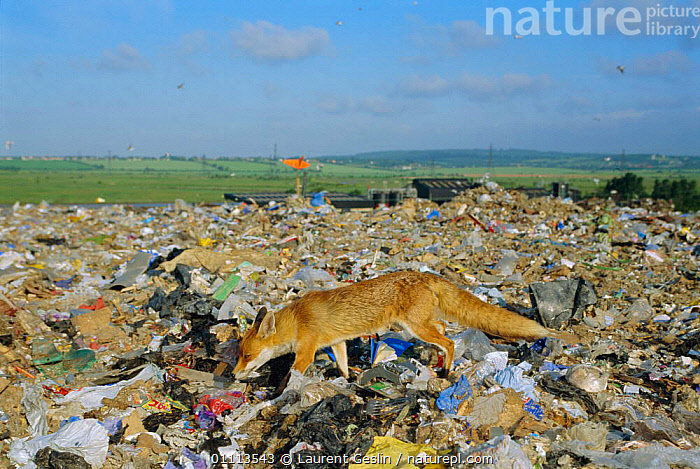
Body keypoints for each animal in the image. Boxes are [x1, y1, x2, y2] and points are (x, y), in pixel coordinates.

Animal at [233, 271, 553, 381]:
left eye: (247, 355)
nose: (234, 374)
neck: (298, 319)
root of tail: (424, 274)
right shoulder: (337, 343)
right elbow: (343, 366)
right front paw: (348, 382)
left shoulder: (306, 353)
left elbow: (290, 377)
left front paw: (277, 398)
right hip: (419, 325)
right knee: (443, 329)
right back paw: (436, 361)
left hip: (415, 327)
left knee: (449, 341)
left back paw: (446, 371)